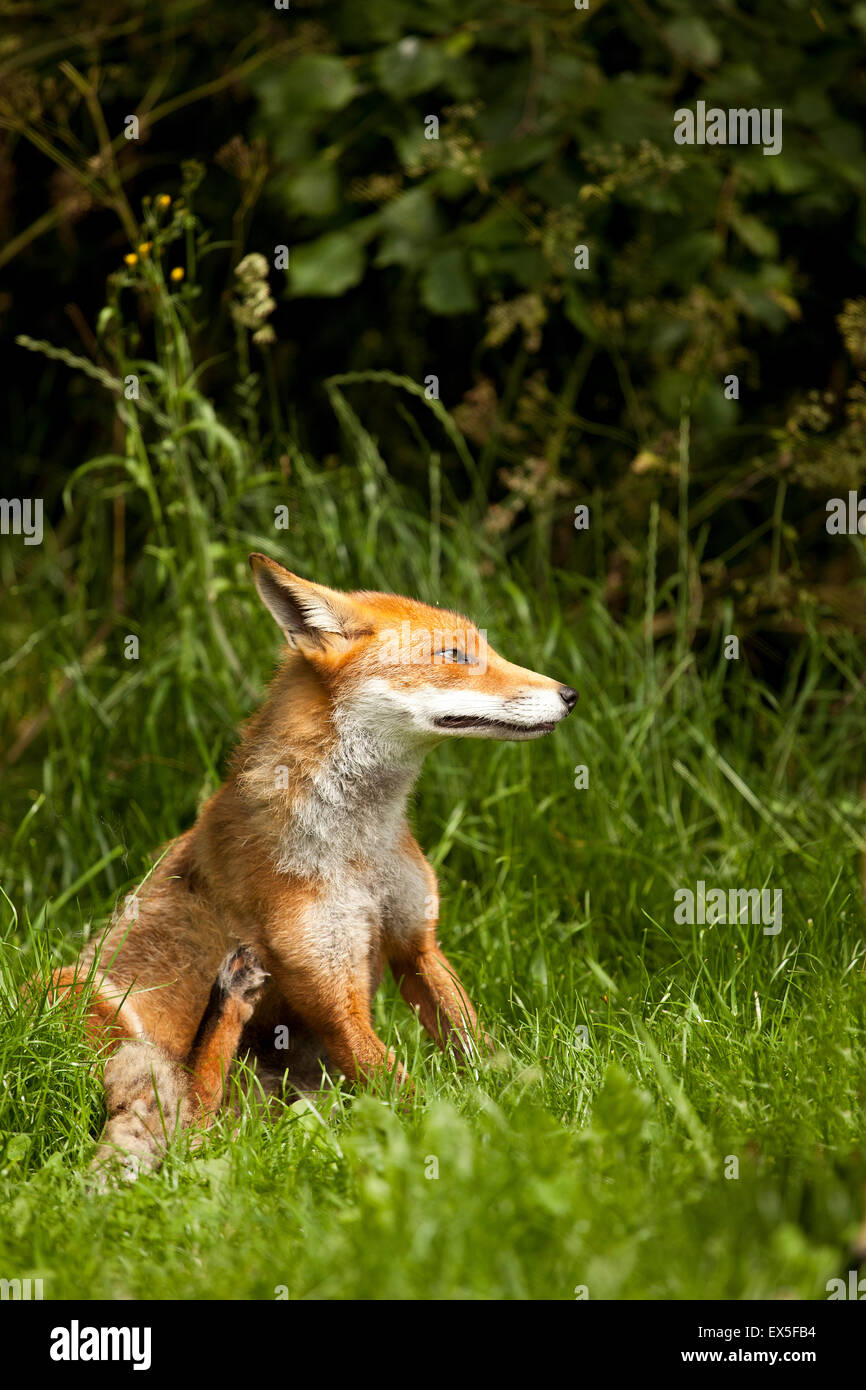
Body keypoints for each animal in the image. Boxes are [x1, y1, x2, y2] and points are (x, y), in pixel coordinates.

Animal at [49, 553, 577, 1177]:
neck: (359, 850)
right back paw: (227, 1003)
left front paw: (517, 1105)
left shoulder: (416, 944)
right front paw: (470, 1137)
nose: (570, 694)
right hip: (72, 993)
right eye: (454, 656)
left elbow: (477, 1050)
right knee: (194, 1119)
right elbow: (407, 1094)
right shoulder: (329, 990)